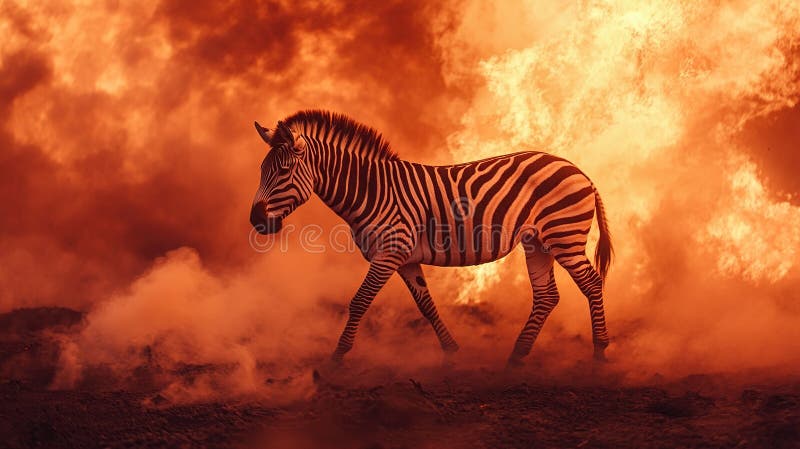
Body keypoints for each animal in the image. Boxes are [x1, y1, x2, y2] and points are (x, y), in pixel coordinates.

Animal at [249, 110, 613, 366]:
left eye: (283, 172)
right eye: (261, 171)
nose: (255, 221)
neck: (372, 190)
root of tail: (579, 170)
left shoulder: (389, 254)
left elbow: (359, 302)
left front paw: (336, 358)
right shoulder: (405, 259)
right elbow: (426, 306)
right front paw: (451, 351)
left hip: (564, 236)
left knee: (591, 283)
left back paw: (599, 351)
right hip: (538, 243)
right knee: (547, 296)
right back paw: (517, 355)